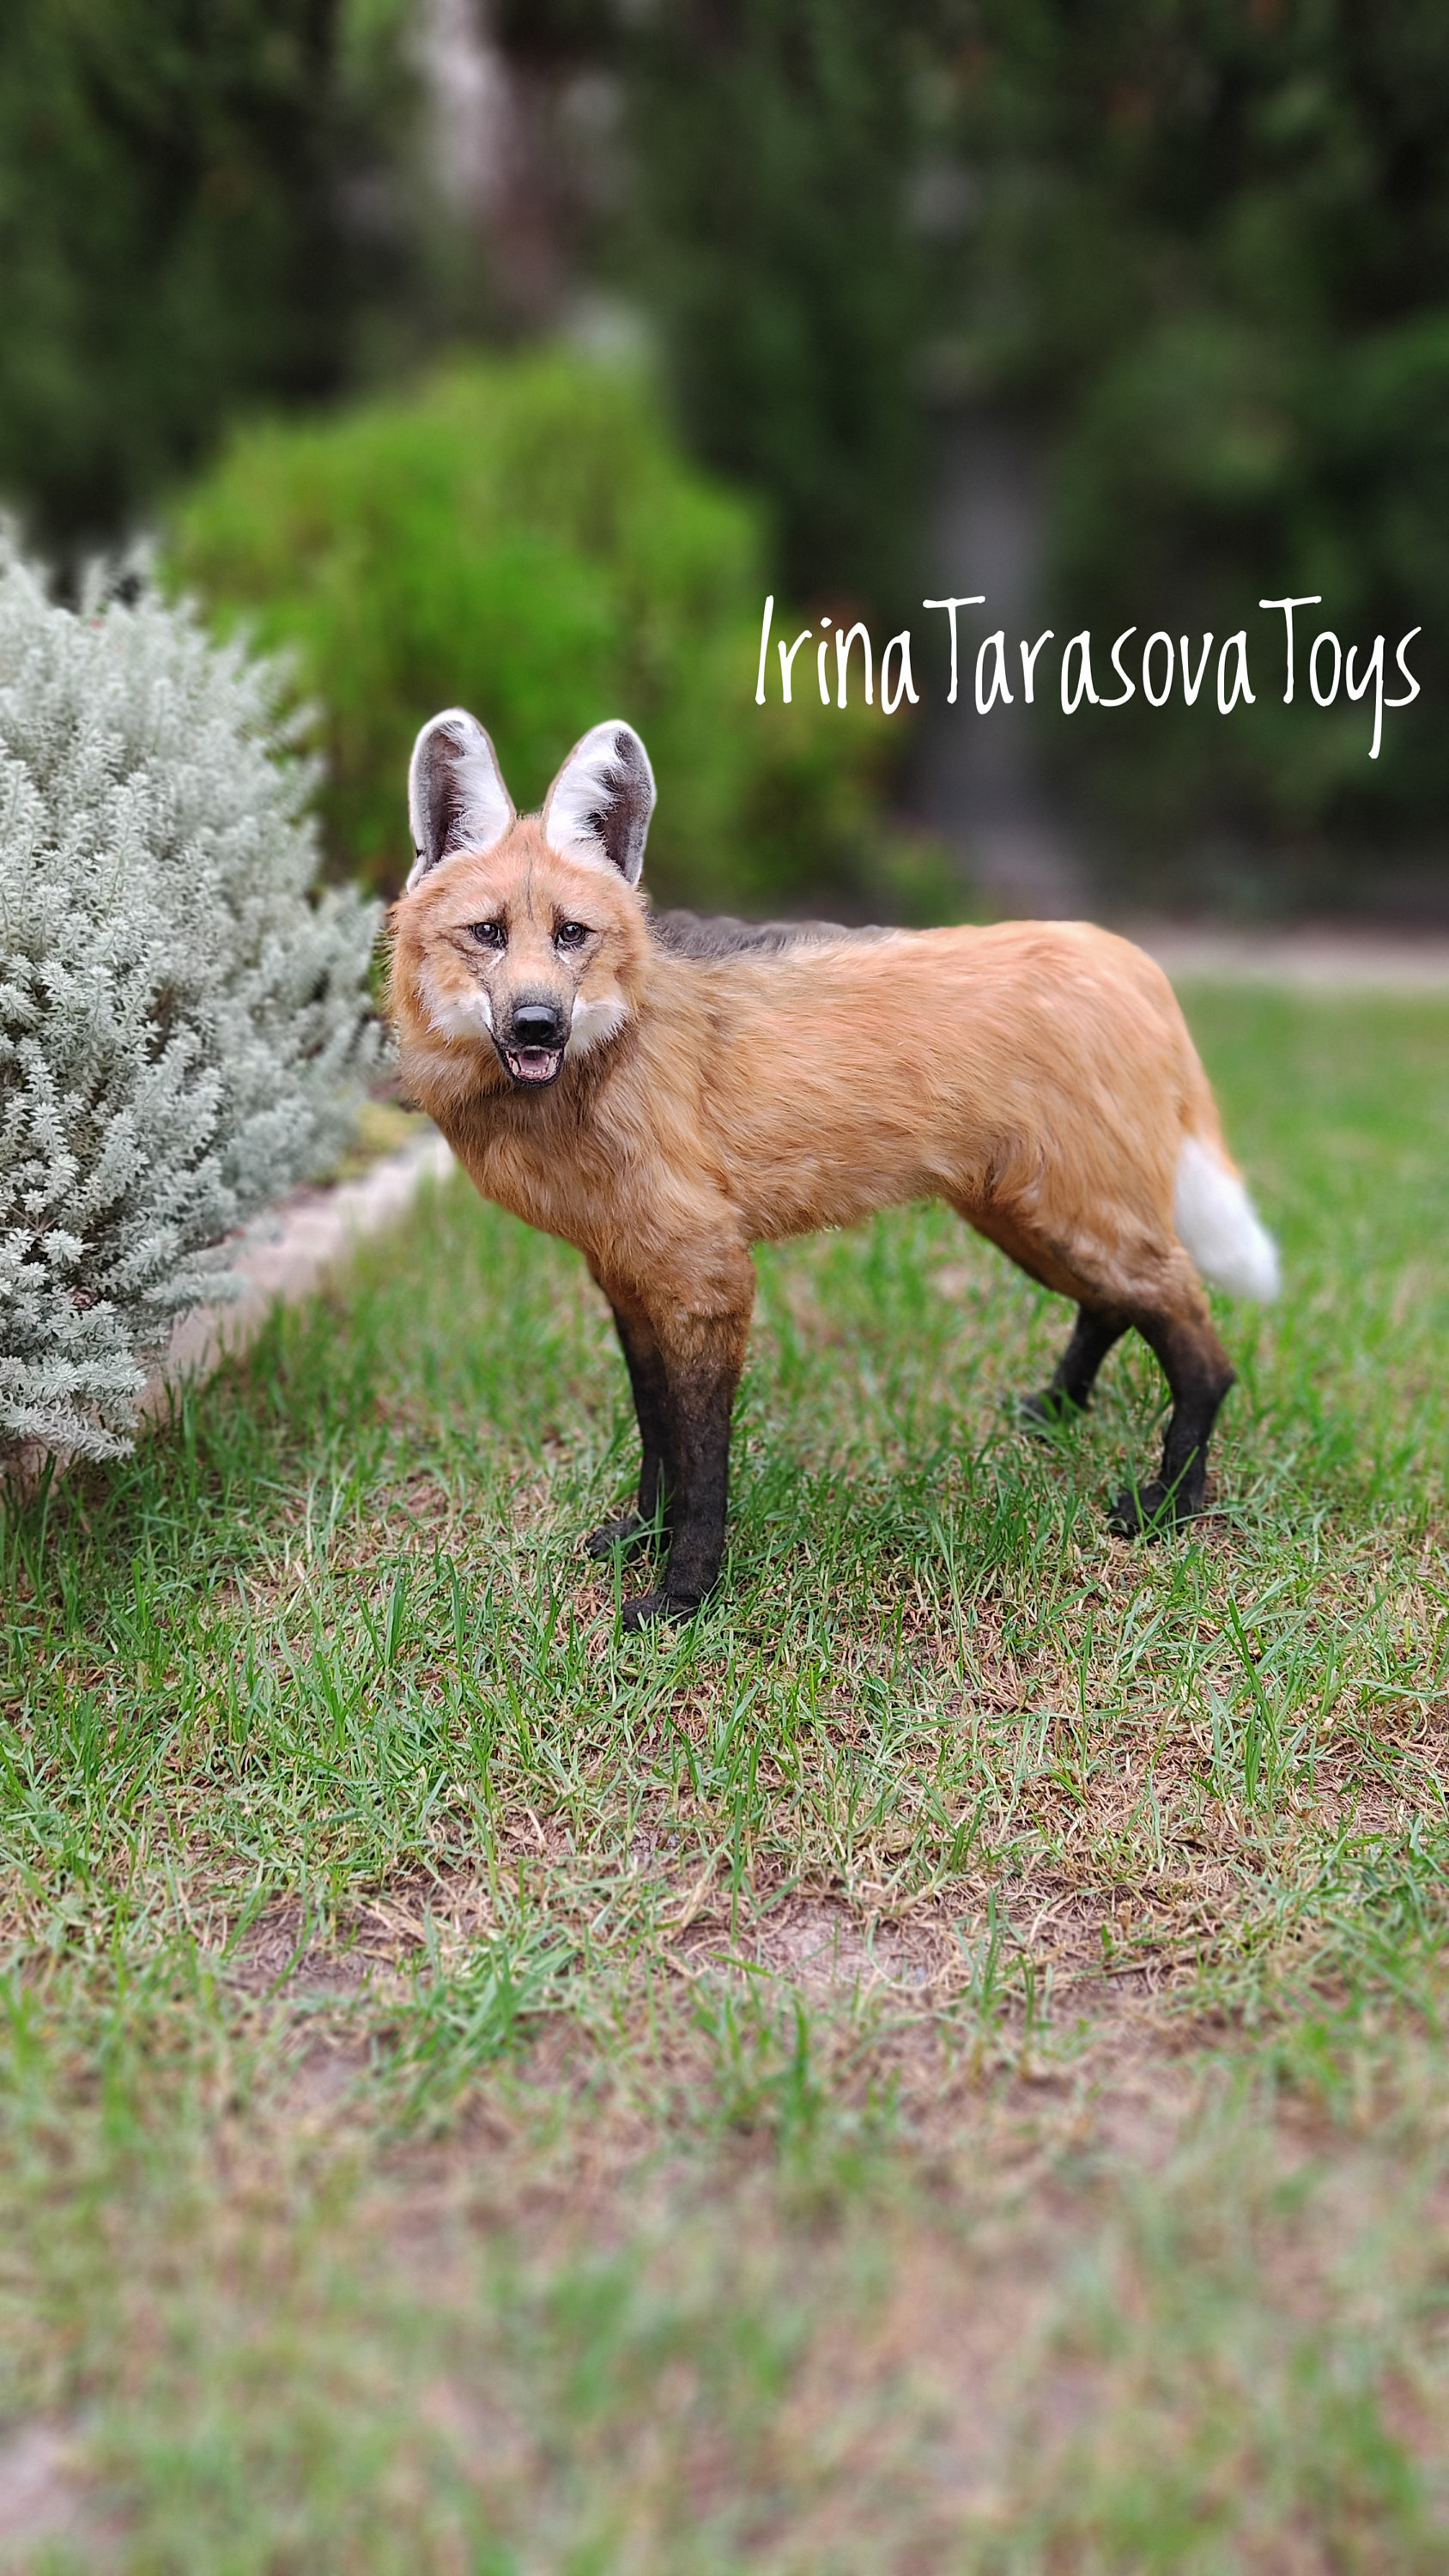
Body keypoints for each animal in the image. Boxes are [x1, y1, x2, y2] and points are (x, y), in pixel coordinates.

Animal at [388, 710, 1278, 1626]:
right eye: (489, 934)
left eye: (572, 935)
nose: (538, 1025)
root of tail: (1123, 954)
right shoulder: (628, 1277)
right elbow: (657, 1438)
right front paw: (643, 1537)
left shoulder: (706, 1278)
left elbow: (701, 1467)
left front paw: (685, 1593)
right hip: (1022, 1219)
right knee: (1113, 1307)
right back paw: (1061, 1410)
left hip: (1074, 1219)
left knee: (1204, 1353)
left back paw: (1173, 1503)